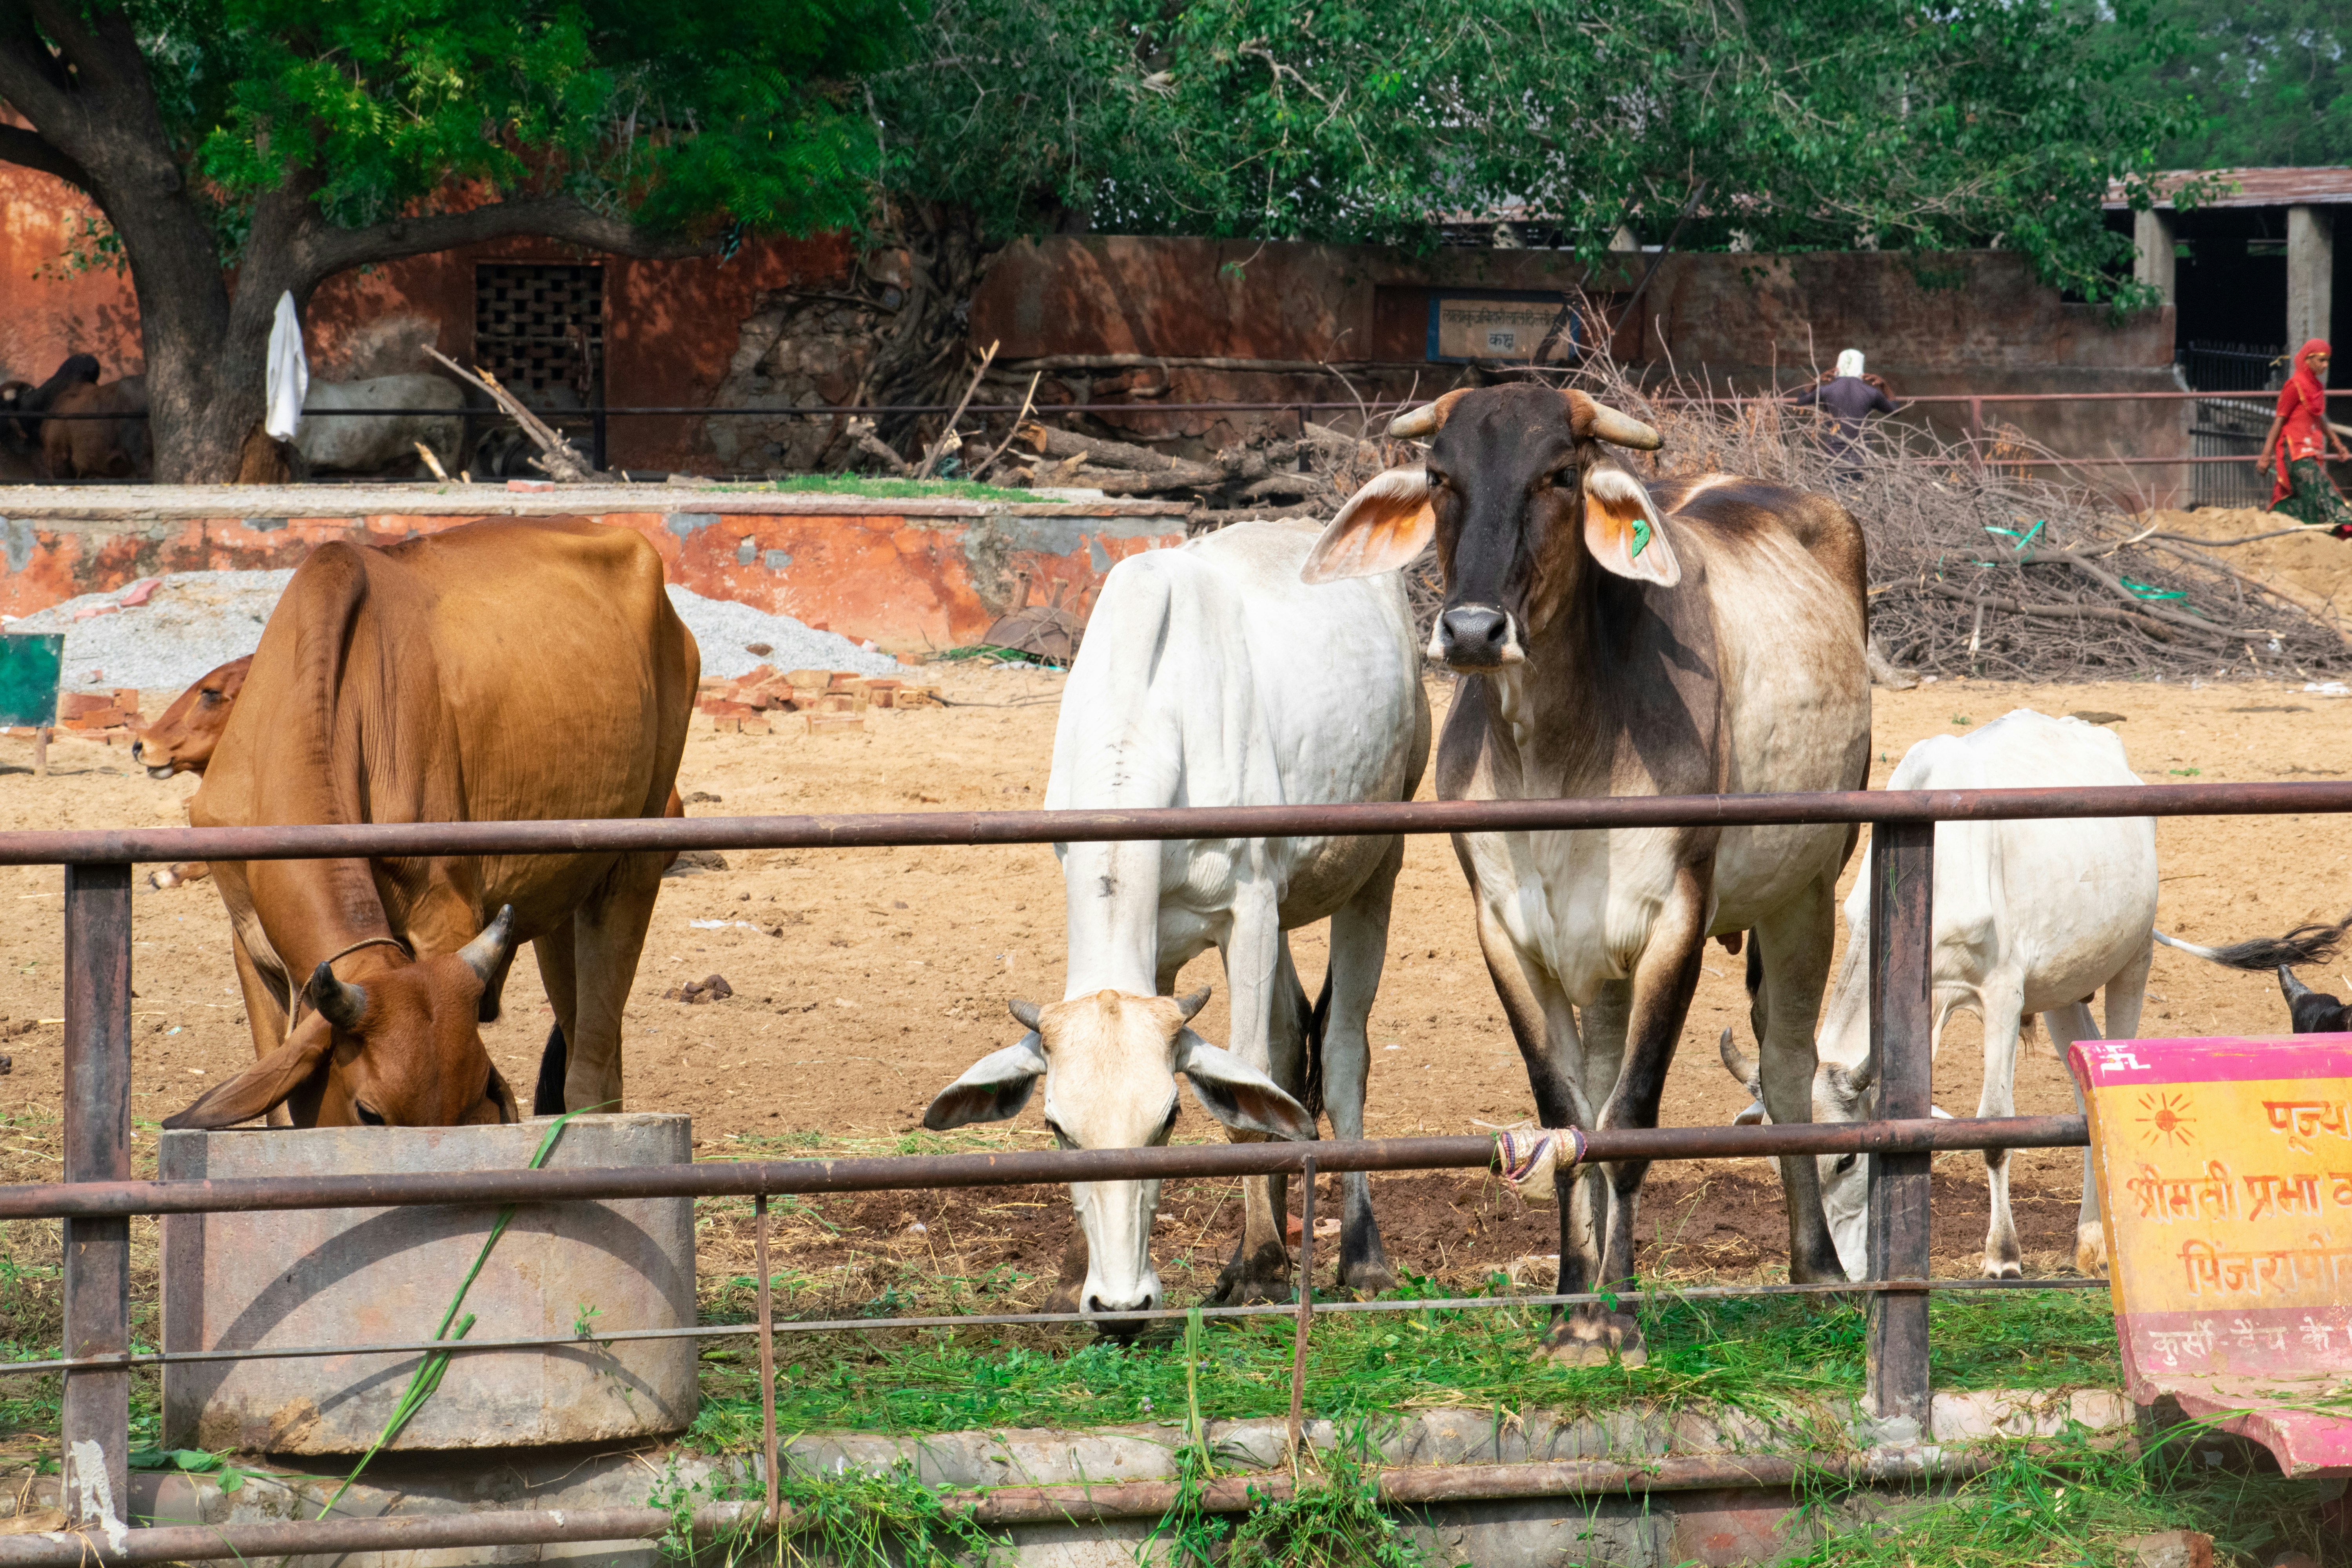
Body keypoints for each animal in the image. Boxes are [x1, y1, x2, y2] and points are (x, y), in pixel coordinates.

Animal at [163, 517, 697, 1131]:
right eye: (370, 1113)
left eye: (472, 1097)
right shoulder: (250, 945)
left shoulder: (446, 916)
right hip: (563, 898)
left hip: (631, 870)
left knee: (594, 1071)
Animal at [923, 518, 1431, 1319]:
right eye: (1056, 1127)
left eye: (1167, 1119)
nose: (1120, 1303)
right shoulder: (1164, 942)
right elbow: (1258, 1080)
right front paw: (1077, 1277)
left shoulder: (1250, 902)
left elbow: (1247, 1081)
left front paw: (1262, 1267)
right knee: (1291, 1048)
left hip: (1380, 860)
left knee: (1343, 1050)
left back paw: (1362, 1257)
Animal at [1299, 383, 1870, 1364]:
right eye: (1441, 474)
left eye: (1560, 474)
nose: (1473, 630)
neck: (1556, 750)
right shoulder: (1508, 930)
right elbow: (1569, 1113)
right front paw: (1574, 1310)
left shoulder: (1677, 920)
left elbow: (1632, 1117)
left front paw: (1623, 1316)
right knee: (1609, 1083)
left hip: (1807, 891)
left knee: (1787, 1065)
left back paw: (1819, 1268)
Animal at [1717, 710, 2154, 1281]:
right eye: (1776, 1161)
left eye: (1847, 1160)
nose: (1850, 1269)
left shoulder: (2003, 993)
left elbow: (1994, 1127)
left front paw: (2002, 1257)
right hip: (2064, 990)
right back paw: (2089, 1240)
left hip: (2134, 958)